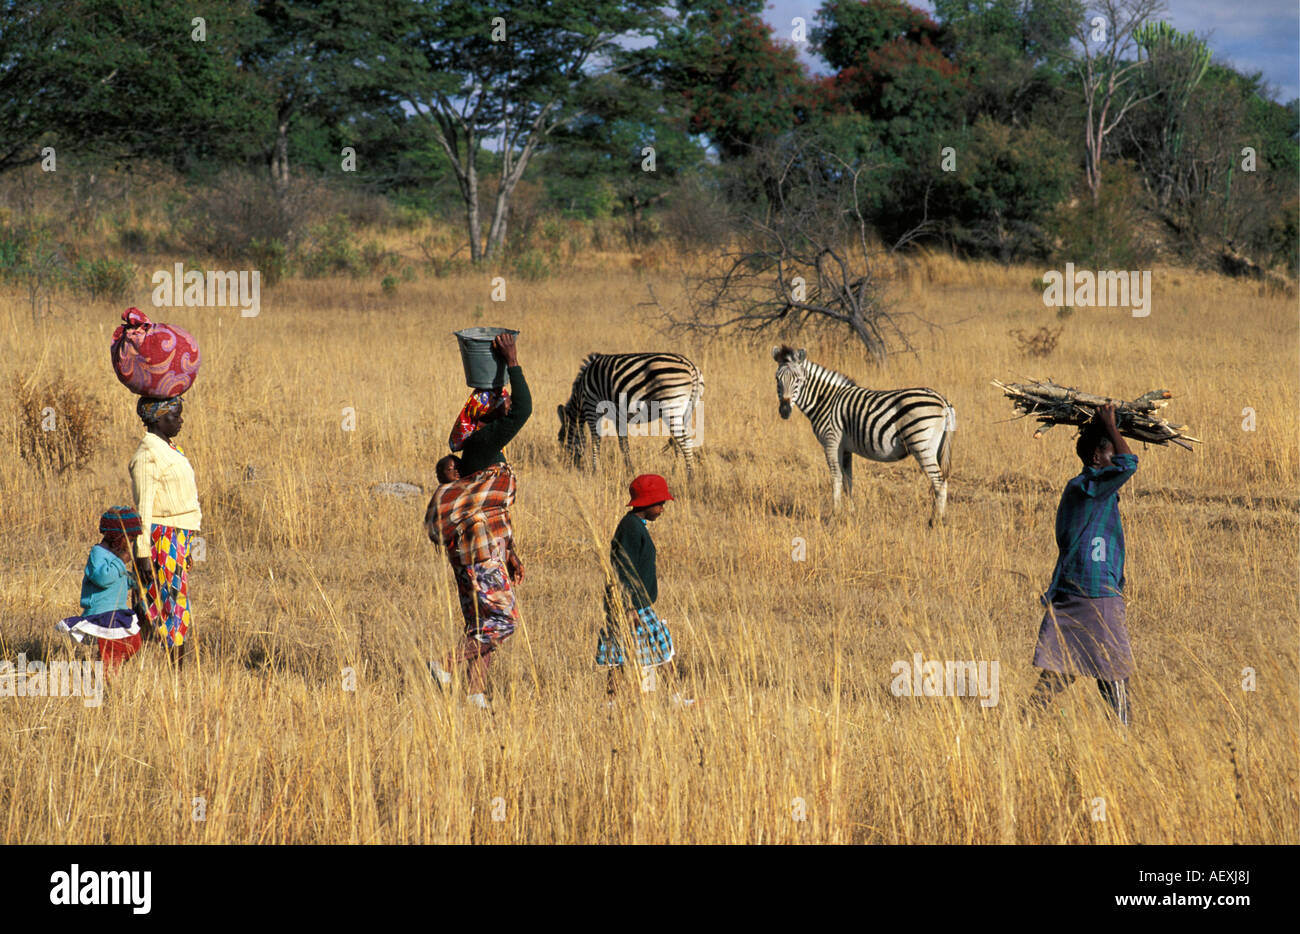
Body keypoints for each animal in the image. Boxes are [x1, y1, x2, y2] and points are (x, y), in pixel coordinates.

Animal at [557, 352, 704, 477]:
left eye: (561, 439)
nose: (566, 467)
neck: (580, 395)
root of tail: (691, 367)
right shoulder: (617, 416)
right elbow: (623, 444)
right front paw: (630, 471)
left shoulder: (591, 406)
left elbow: (595, 440)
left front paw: (595, 471)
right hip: (686, 410)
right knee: (678, 442)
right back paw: (675, 472)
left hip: (671, 405)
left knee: (685, 441)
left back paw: (691, 478)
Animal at [772, 345, 954, 525]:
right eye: (777, 379)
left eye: (798, 379)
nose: (784, 411)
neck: (825, 401)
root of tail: (942, 400)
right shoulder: (845, 448)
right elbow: (848, 480)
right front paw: (851, 513)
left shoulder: (831, 441)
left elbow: (836, 476)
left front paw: (835, 514)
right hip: (935, 447)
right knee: (940, 481)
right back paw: (939, 518)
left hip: (921, 444)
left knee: (939, 480)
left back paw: (935, 521)